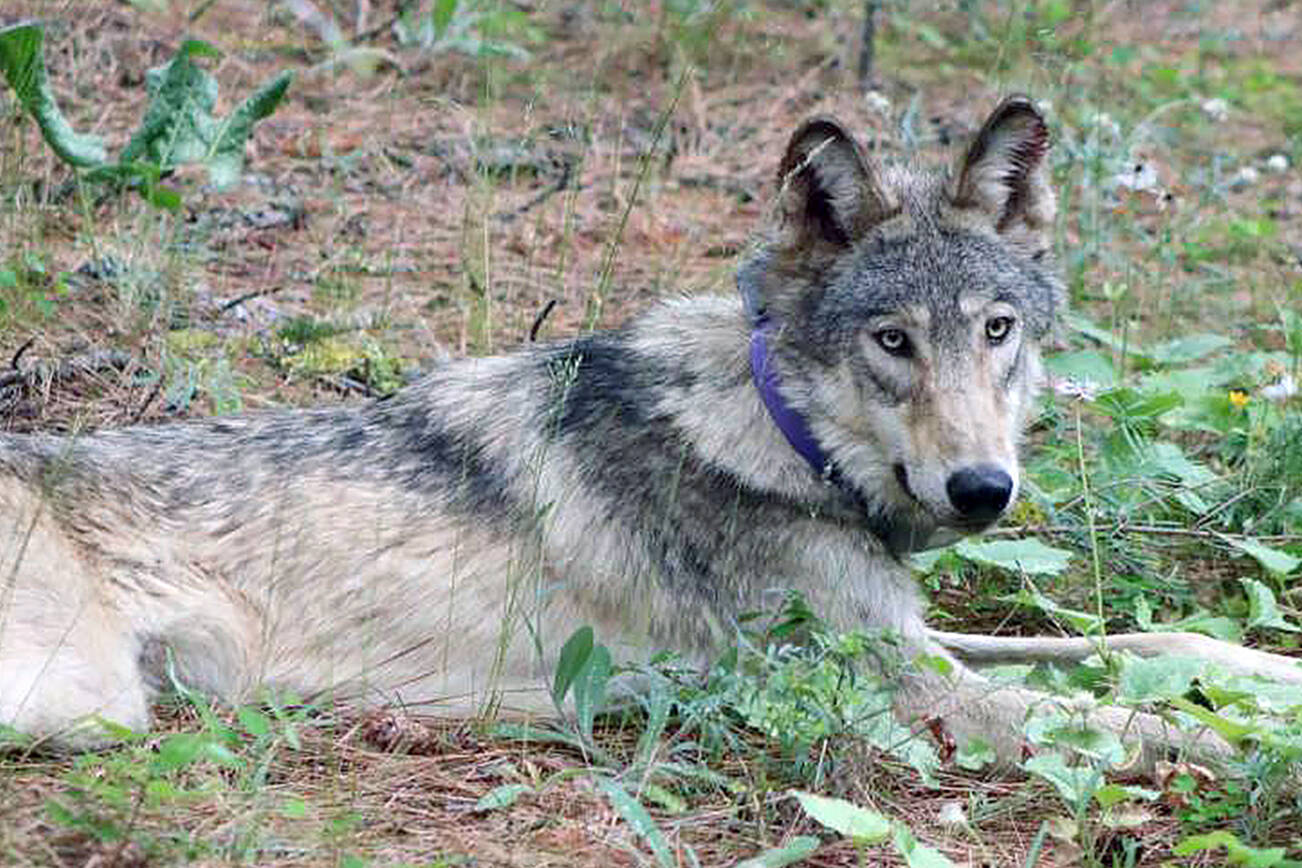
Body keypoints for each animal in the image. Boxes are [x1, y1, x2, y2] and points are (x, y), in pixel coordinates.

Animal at [2, 97, 1300, 769]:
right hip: (91, 700)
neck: (780, 440)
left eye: (995, 330)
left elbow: (1156, 643)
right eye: (892, 341)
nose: (982, 489)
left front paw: (1269, 677)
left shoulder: (914, 639)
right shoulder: (914, 695)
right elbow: (1131, 718)